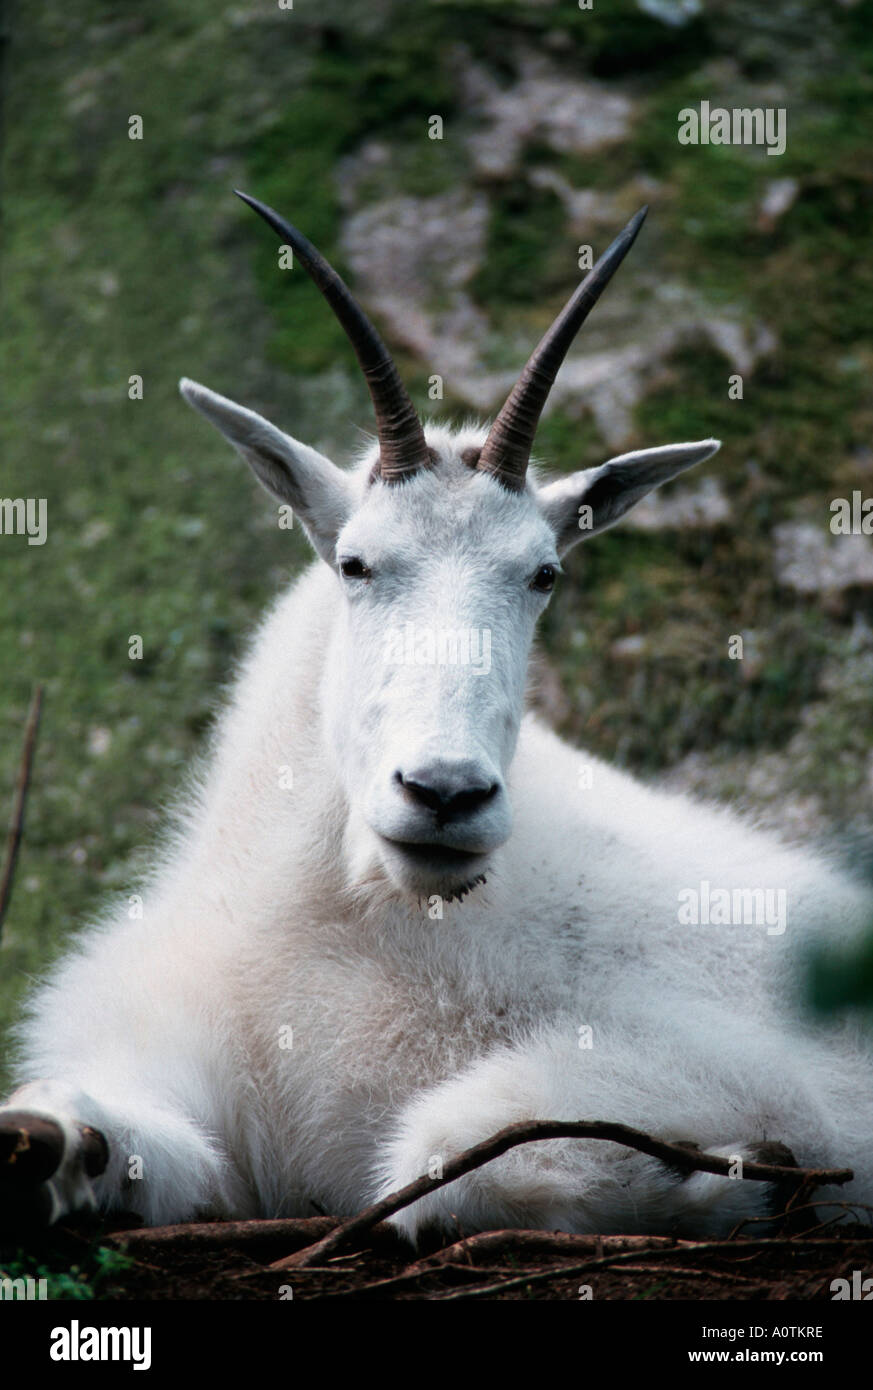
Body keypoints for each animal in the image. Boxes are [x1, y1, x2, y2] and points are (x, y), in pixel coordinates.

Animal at [1, 194, 871, 1243]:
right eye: (355, 562)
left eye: (544, 573)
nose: (444, 795)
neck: (362, 919)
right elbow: (134, 1140)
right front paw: (50, 1147)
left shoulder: (769, 1066)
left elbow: (450, 1155)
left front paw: (741, 1174)